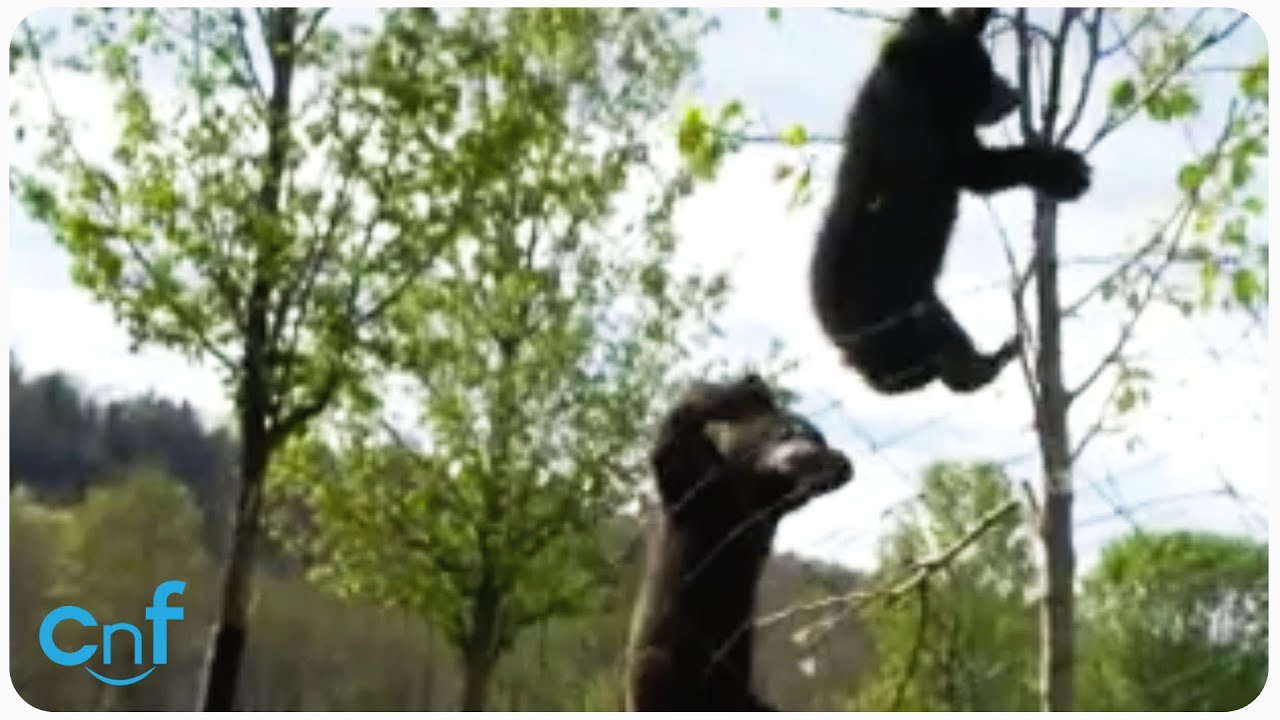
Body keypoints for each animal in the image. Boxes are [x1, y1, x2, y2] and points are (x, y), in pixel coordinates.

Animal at [624, 373, 854, 711]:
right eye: (787, 430)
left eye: (818, 441)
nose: (809, 455)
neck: (752, 491)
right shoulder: (697, 487)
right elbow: (676, 442)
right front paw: (744, 392)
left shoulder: (766, 517)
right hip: (664, 664)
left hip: (734, 685)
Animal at [809, 7, 1092, 395]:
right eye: (989, 76)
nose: (1015, 94)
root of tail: (844, 347)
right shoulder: (921, 145)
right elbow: (981, 170)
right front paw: (1068, 172)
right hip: (895, 311)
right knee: (942, 350)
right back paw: (991, 360)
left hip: (921, 308)